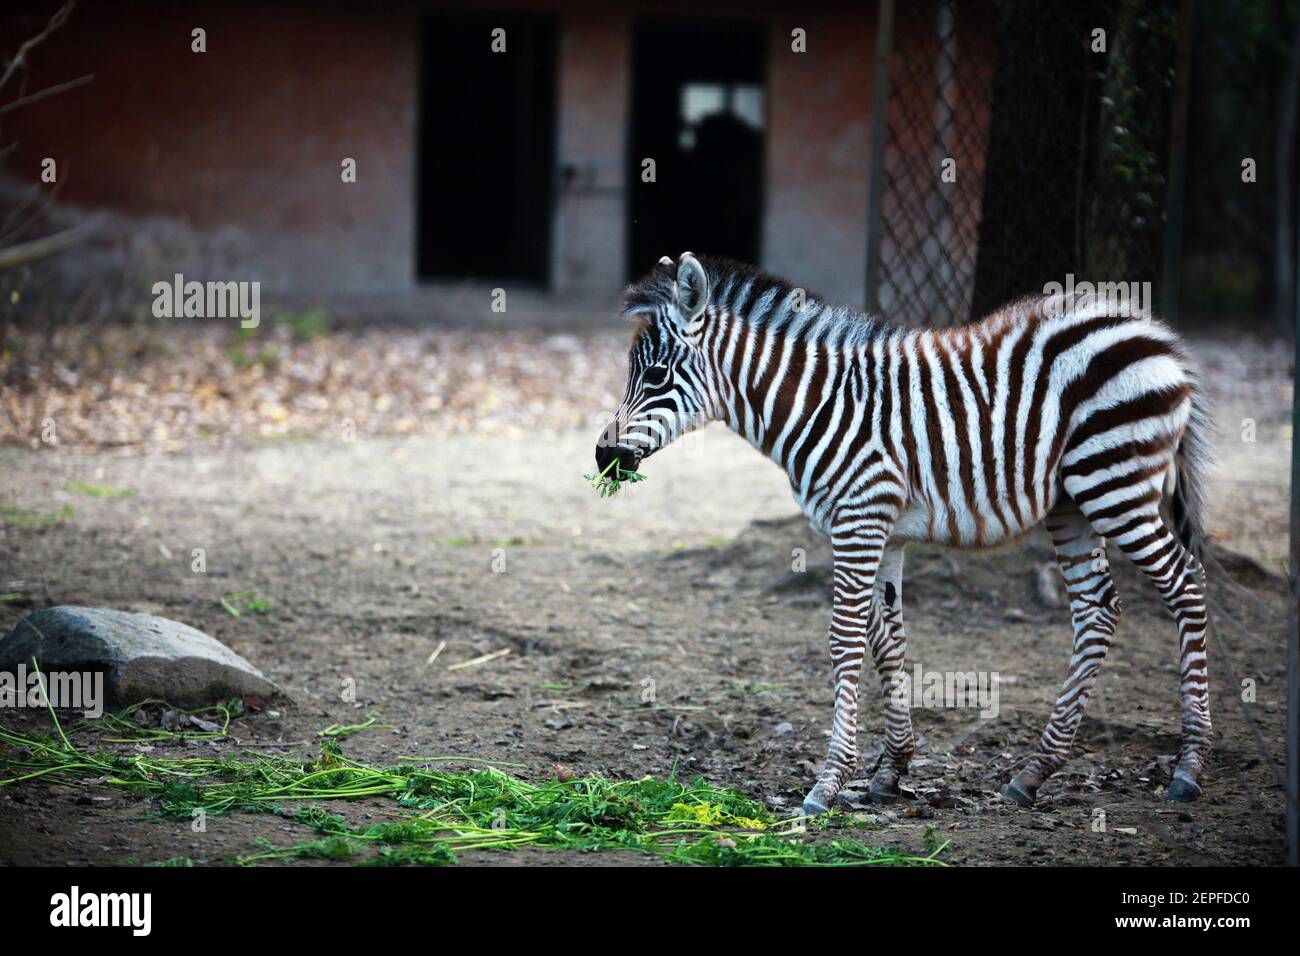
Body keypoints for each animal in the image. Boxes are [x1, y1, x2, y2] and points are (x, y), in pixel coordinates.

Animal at [594, 251, 1213, 815]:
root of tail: (1158, 337)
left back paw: (1188, 768)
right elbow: (887, 642)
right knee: (1098, 609)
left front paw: (828, 783)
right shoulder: (883, 532)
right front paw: (891, 770)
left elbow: (844, 641)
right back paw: (1034, 771)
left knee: (1186, 586)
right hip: (1073, 504)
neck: (816, 407)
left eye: (655, 376)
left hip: (1115, 482)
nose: (603, 458)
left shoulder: (860, 519)